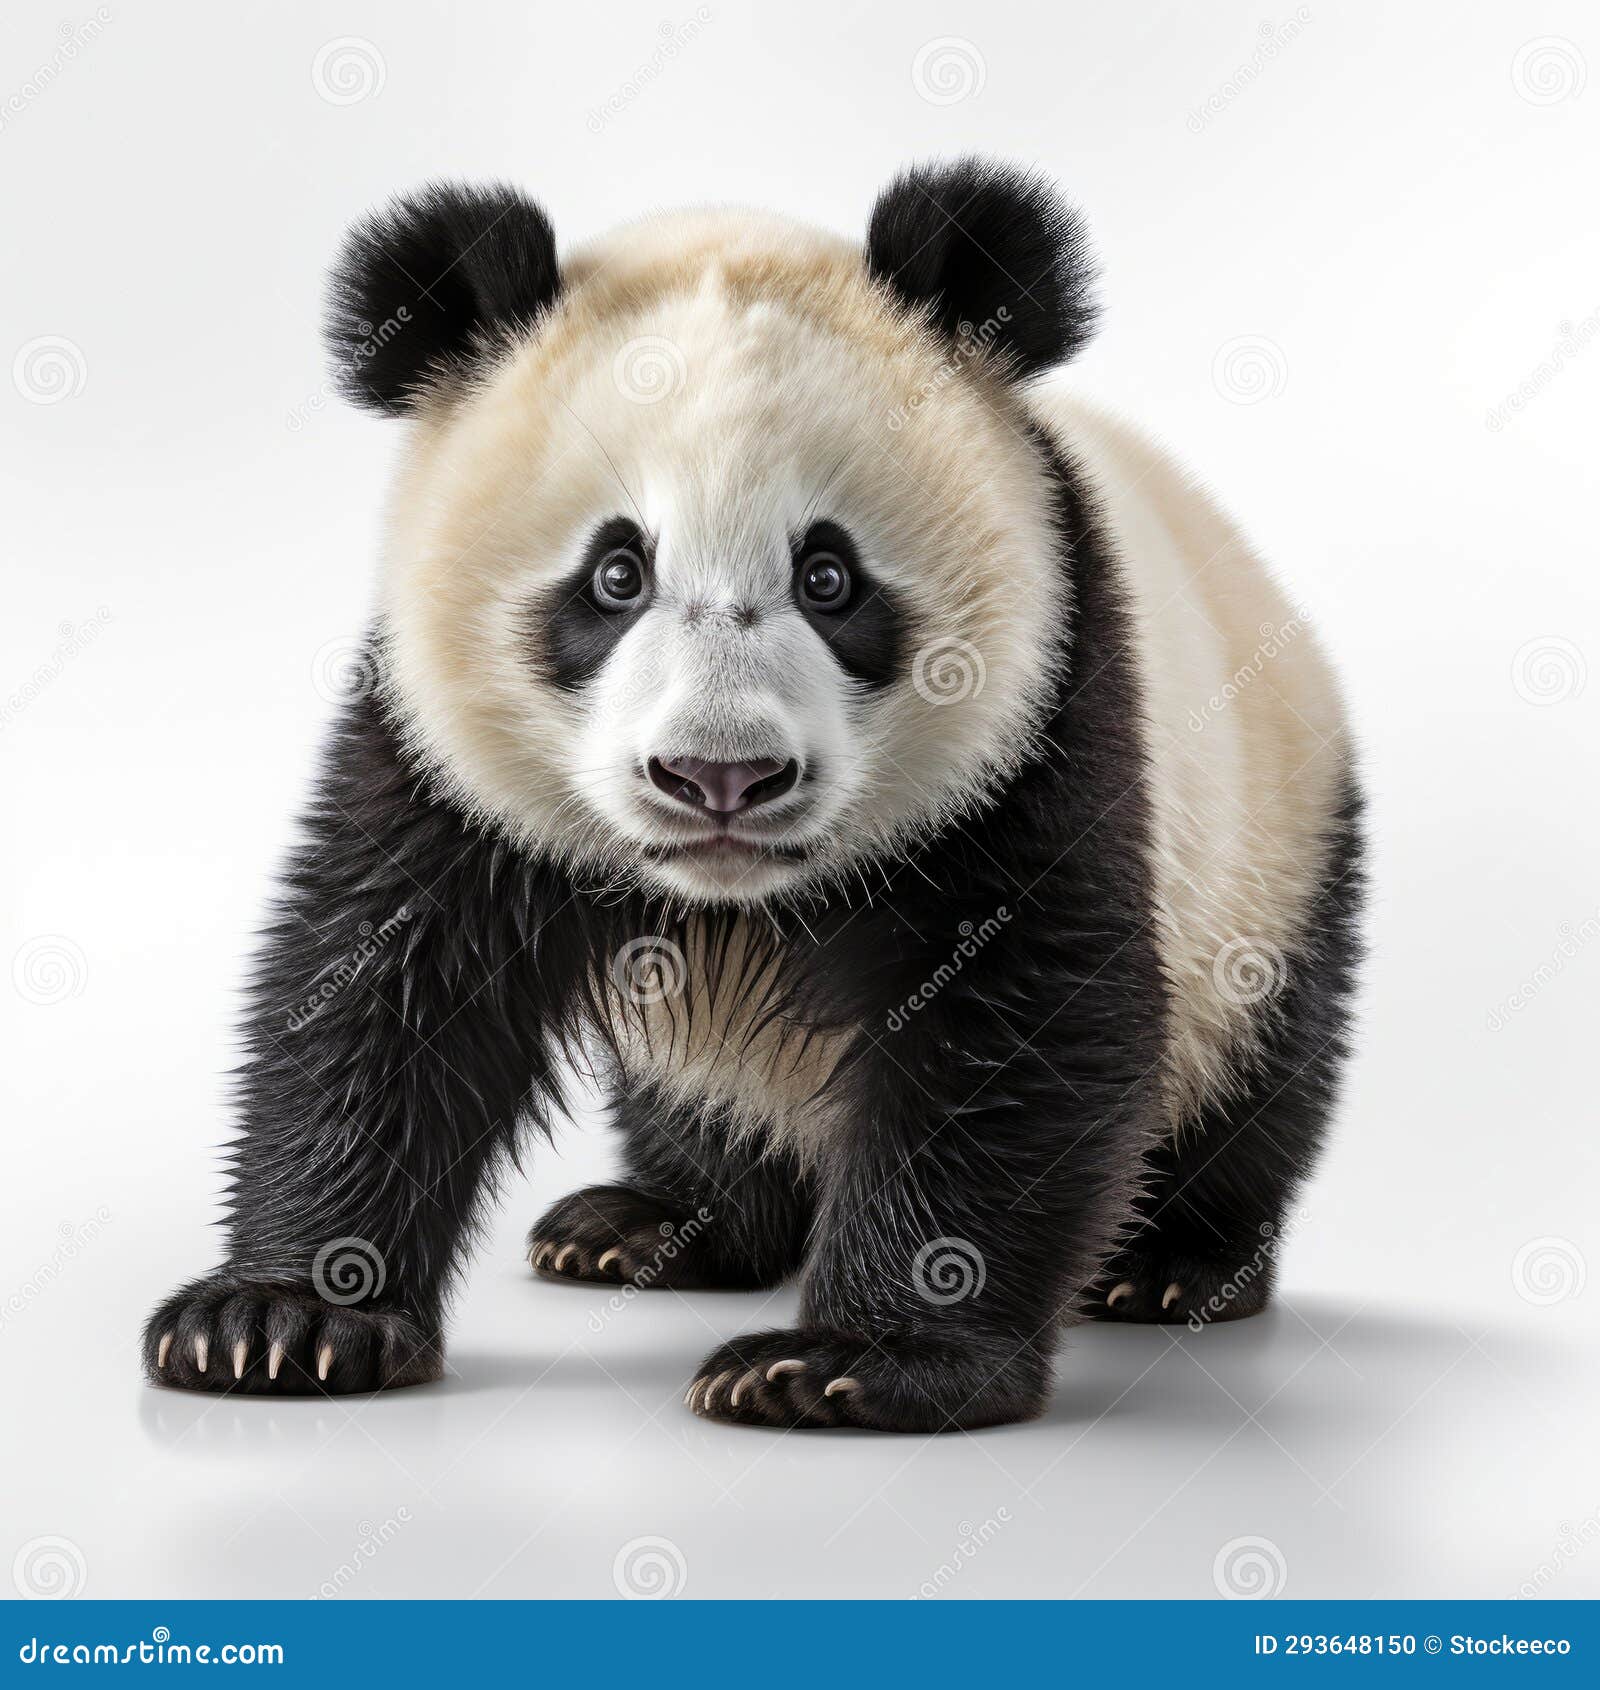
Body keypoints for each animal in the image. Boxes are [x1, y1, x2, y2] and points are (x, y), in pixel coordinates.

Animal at [144, 159, 1363, 1431]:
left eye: (828, 577)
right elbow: (376, 992)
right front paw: (280, 1317)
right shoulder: (436, 760)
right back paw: (653, 1227)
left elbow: (1023, 1029)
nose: (718, 775)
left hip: (1270, 850)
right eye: (615, 575)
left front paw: (850, 1360)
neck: (734, 897)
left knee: (1255, 1071)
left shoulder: (1044, 727)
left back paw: (1169, 1262)